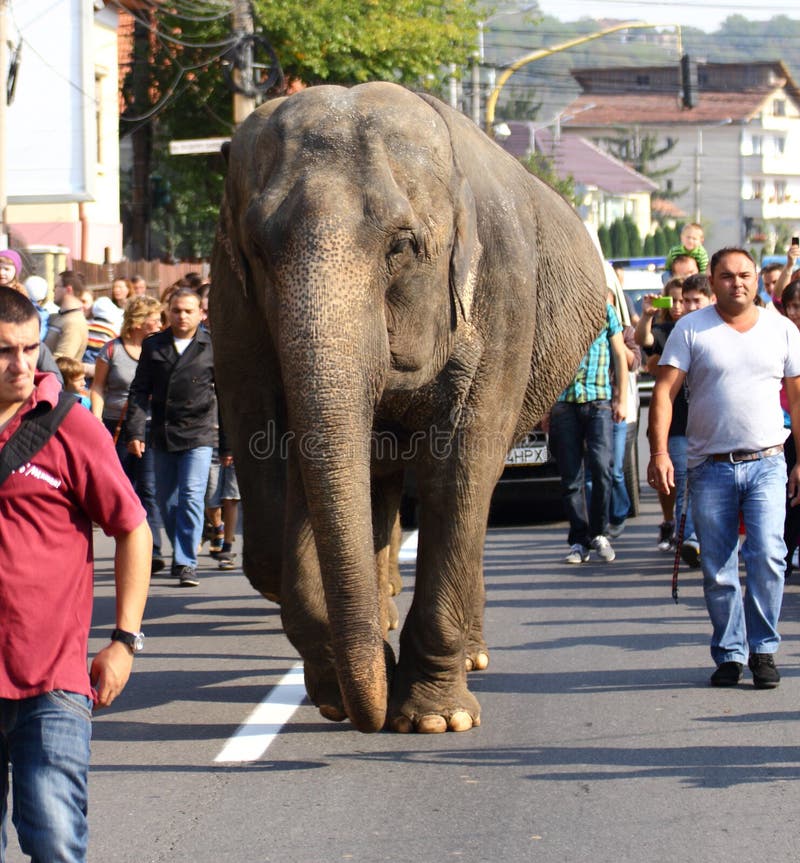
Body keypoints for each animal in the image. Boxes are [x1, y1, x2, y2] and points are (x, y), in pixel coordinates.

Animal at [210, 81, 607, 734]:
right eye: (260, 250)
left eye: (402, 245)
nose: (365, 715)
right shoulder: (230, 303)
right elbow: (272, 473)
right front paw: (337, 693)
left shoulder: (505, 296)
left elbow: (460, 471)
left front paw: (434, 719)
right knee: (373, 487)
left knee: (472, 494)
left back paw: (469, 657)